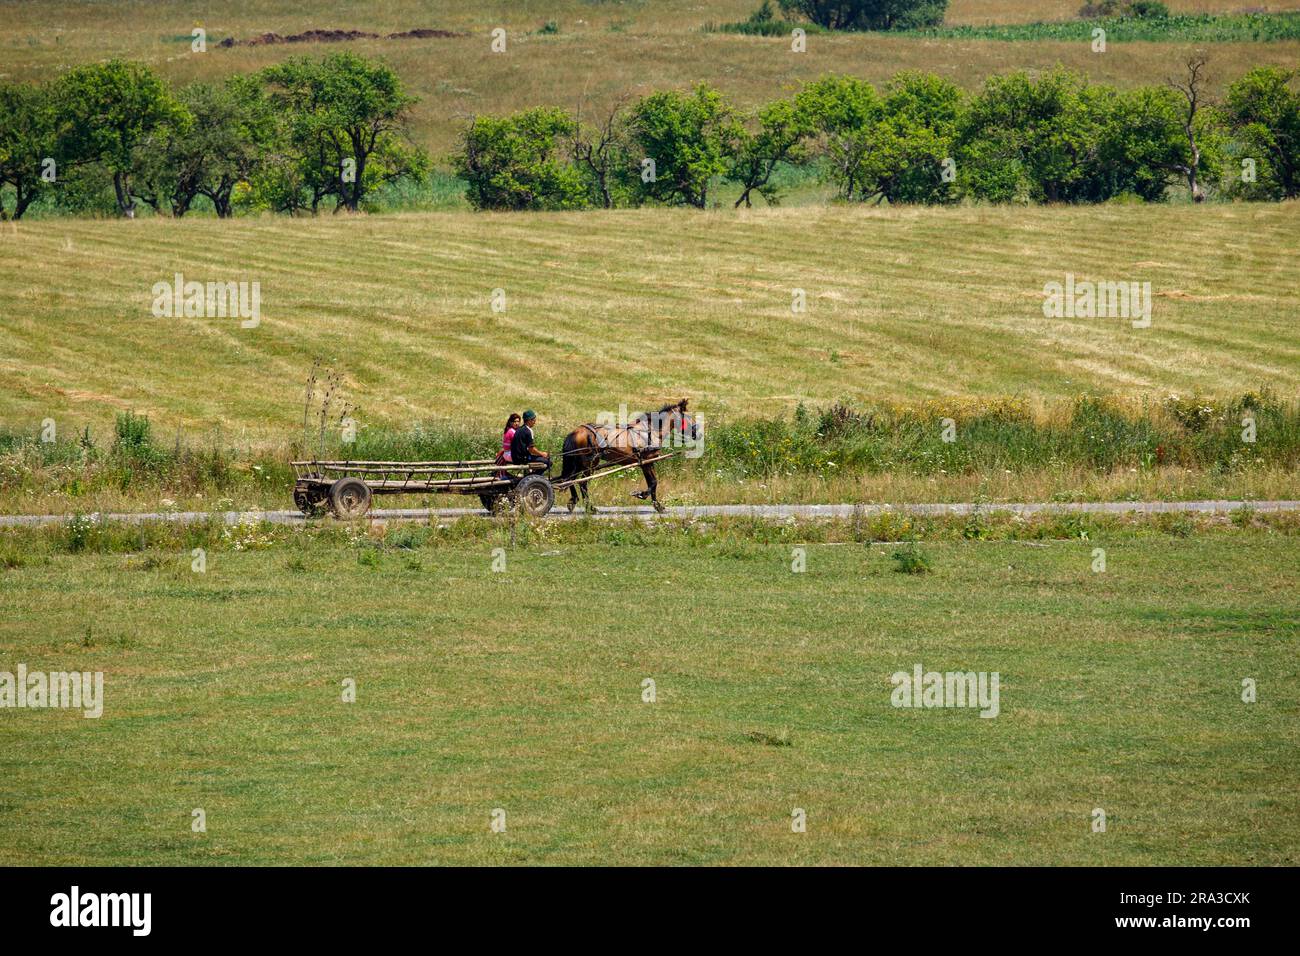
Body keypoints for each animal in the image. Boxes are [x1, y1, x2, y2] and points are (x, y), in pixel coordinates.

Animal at [558, 399, 700, 514]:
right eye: (688, 417)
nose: (697, 433)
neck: (650, 431)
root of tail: (576, 431)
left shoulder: (646, 462)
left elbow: (653, 483)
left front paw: (657, 505)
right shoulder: (647, 461)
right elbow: (653, 482)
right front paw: (642, 494)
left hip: (579, 463)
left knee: (570, 479)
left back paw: (573, 501)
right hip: (590, 463)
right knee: (581, 483)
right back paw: (590, 508)